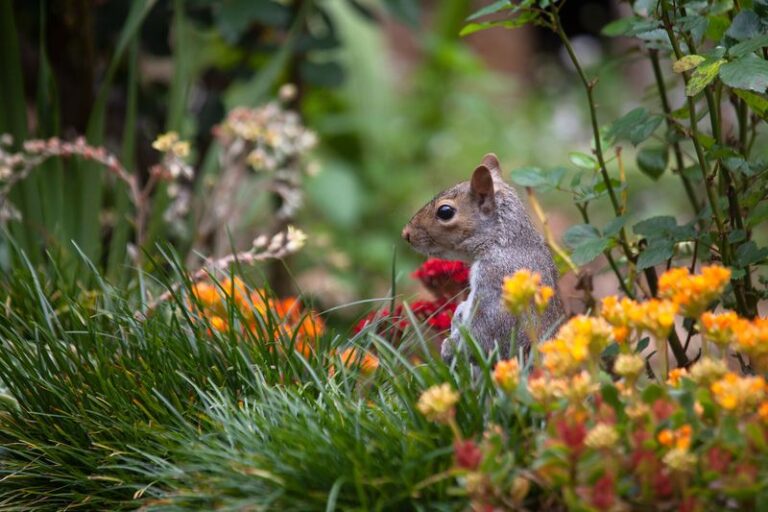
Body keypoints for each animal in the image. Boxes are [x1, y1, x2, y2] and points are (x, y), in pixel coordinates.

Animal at [401, 153, 564, 360]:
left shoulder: (497, 282)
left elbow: (482, 335)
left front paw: (449, 348)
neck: (503, 243)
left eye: (445, 212)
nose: (406, 233)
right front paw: (457, 315)